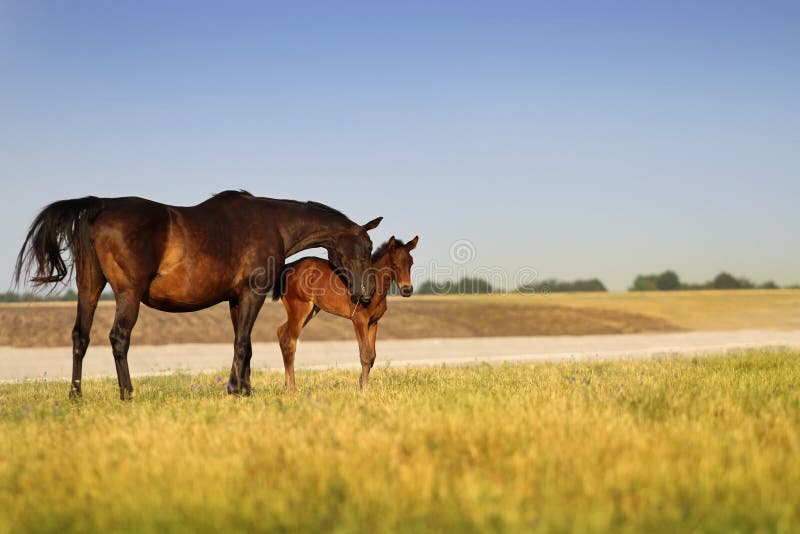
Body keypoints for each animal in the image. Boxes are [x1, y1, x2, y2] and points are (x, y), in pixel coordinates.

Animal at [14, 190, 382, 399]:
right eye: (366, 246)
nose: (365, 294)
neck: (272, 223)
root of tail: (99, 207)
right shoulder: (252, 294)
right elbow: (242, 343)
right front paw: (238, 391)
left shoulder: (236, 299)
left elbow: (243, 344)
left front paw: (243, 388)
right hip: (128, 294)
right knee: (118, 337)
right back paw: (127, 393)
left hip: (89, 288)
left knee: (81, 336)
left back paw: (76, 396)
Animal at [275, 235, 418, 390]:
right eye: (395, 263)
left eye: (411, 263)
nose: (407, 289)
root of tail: (286, 269)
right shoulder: (359, 320)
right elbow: (366, 354)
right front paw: (364, 389)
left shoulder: (373, 322)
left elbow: (372, 356)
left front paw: (361, 385)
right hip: (299, 307)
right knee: (289, 340)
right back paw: (291, 388)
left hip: (311, 310)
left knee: (281, 332)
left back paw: (286, 385)